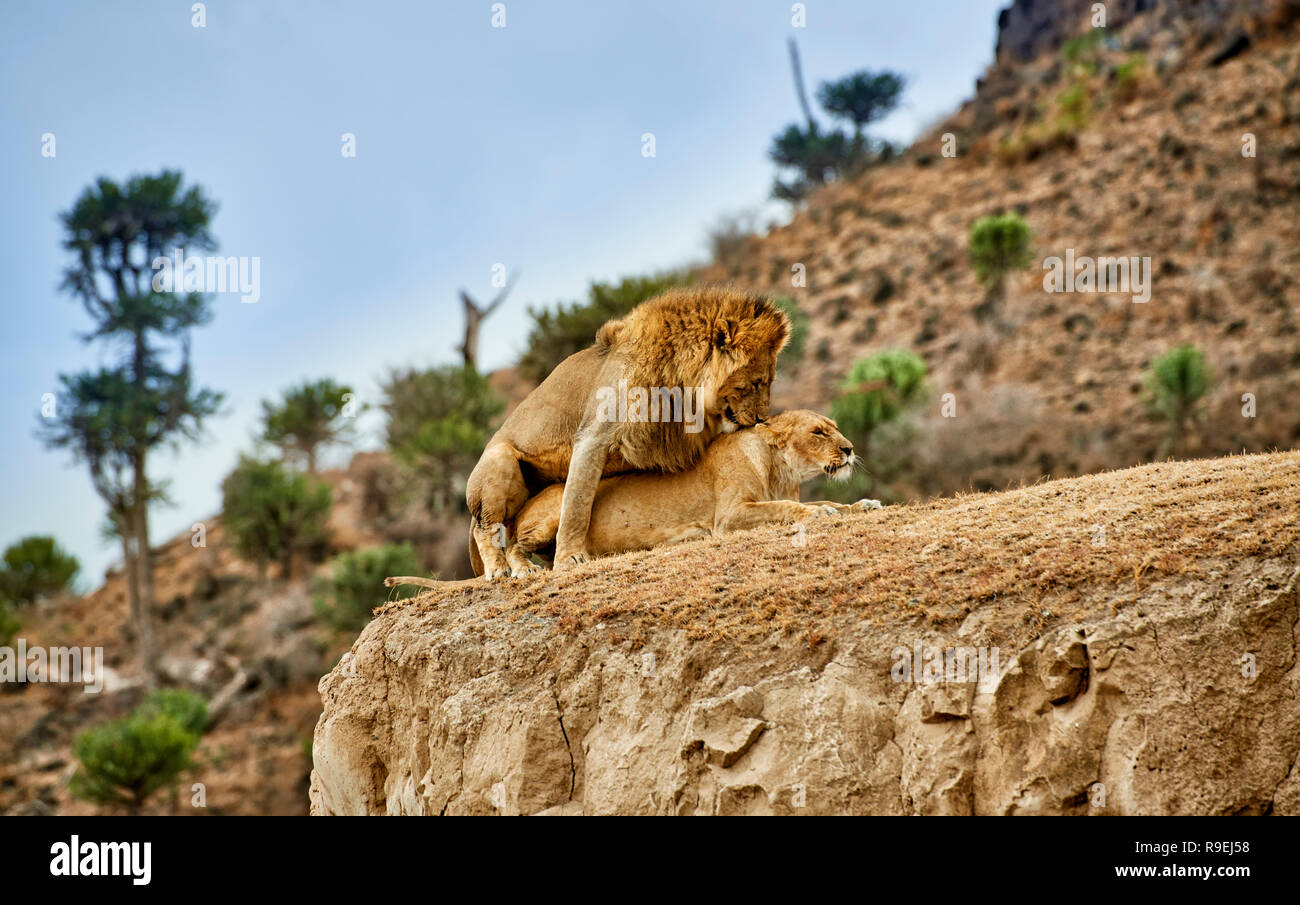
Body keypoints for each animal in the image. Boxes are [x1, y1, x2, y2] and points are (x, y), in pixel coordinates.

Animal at [465, 286, 790, 578]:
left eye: (770, 381)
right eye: (757, 382)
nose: (762, 418)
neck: (682, 385)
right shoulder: (593, 436)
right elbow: (577, 505)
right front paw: (570, 557)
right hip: (500, 458)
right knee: (487, 528)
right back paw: (503, 569)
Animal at [501, 409, 882, 572]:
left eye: (834, 427)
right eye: (818, 432)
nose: (849, 449)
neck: (780, 469)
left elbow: (831, 501)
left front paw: (863, 504)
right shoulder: (729, 517)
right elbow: (786, 508)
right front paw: (818, 513)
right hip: (554, 513)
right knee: (514, 545)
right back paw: (523, 569)